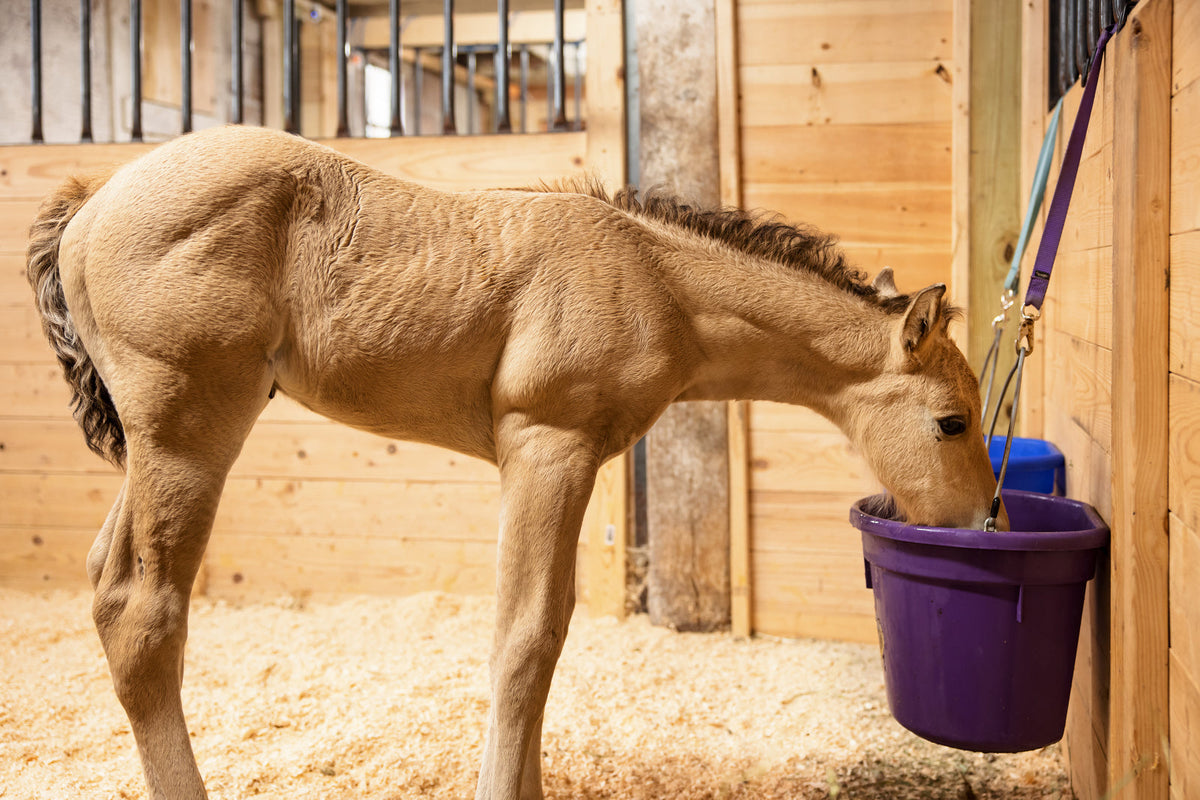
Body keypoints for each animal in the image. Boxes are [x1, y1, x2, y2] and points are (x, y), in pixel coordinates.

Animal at [26, 124, 1006, 800]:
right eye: (953, 422)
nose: (981, 522)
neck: (655, 278)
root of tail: (94, 201)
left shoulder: (569, 462)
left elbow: (552, 631)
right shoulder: (547, 444)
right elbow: (524, 640)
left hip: (154, 448)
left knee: (104, 577)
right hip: (191, 433)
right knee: (140, 610)